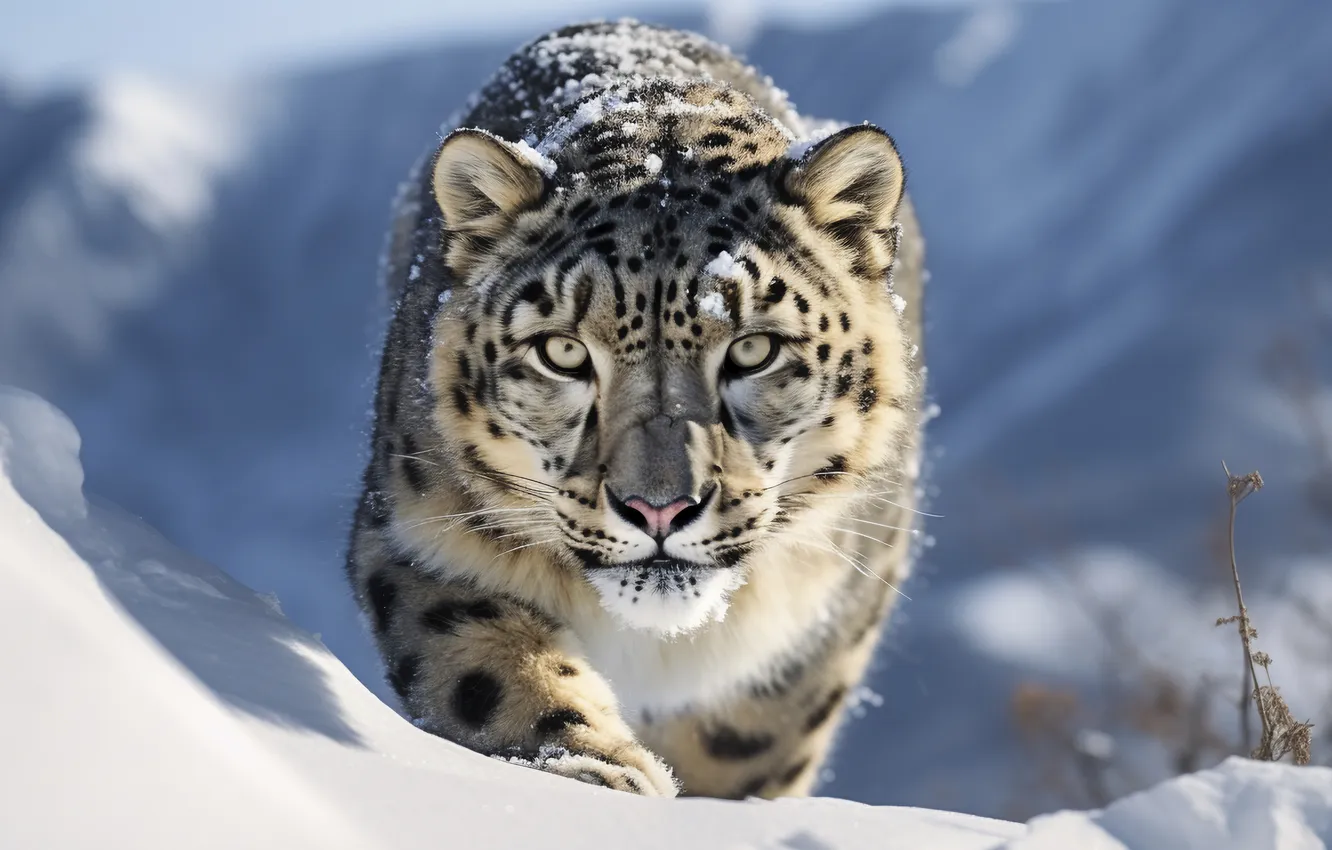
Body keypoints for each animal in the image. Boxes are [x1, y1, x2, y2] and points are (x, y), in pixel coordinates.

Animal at [347, 19, 926, 799]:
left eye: (753, 350)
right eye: (562, 351)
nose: (658, 509)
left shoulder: (829, 615)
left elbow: (748, 747)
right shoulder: (417, 537)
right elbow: (488, 666)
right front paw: (602, 777)